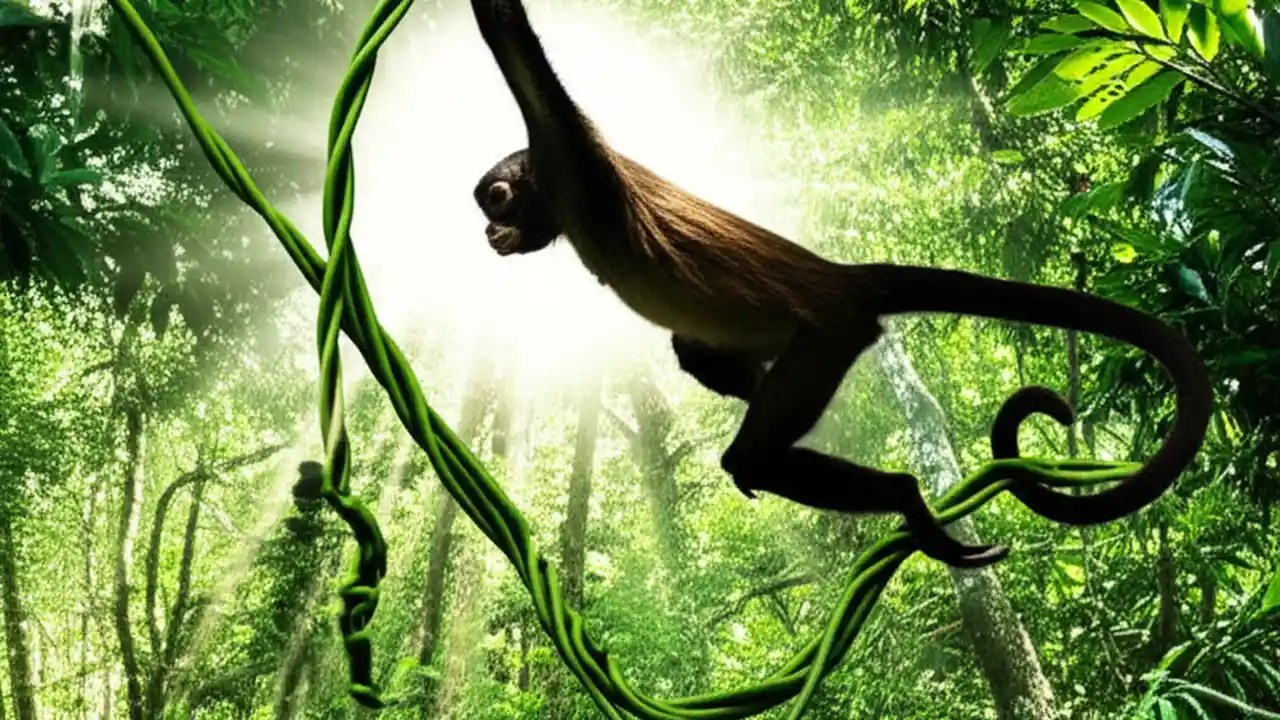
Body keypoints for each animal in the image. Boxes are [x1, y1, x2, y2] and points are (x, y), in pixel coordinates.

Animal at [467, 0, 1212, 567]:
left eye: (497, 200)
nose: (488, 233)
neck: (564, 203)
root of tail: (836, 278)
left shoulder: (569, 151)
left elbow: (507, 32)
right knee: (703, 357)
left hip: (830, 333)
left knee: (755, 457)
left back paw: (906, 496)